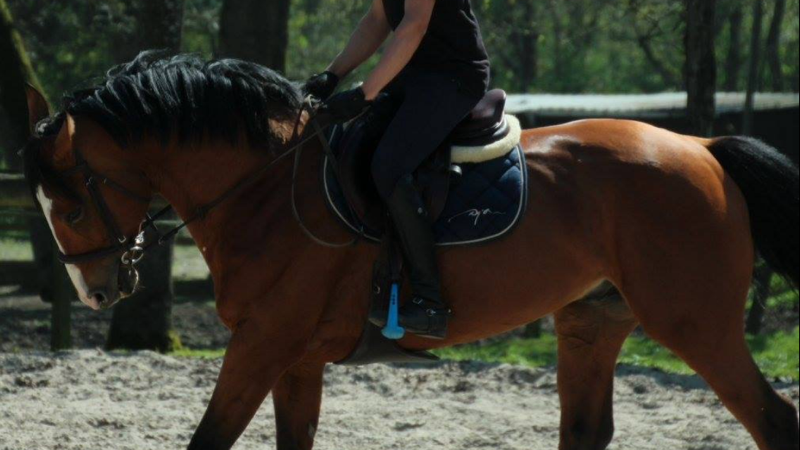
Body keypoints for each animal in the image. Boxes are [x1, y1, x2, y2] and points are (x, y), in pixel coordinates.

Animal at [22, 54, 799, 450]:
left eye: (70, 204)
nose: (95, 291)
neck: (266, 184)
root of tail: (702, 146)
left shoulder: (263, 342)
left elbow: (209, 441)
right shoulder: (295, 356)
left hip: (693, 324)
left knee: (773, 421)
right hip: (591, 319)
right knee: (585, 430)